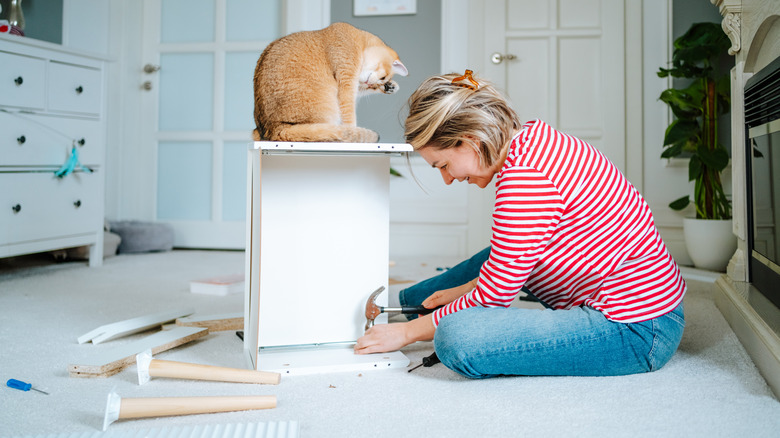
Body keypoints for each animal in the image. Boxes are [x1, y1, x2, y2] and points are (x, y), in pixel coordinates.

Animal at [253, 22, 408, 142]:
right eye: (383, 77)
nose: (371, 84)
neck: (358, 38)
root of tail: (273, 129)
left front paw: (390, 86)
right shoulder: (347, 80)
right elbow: (349, 113)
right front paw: (353, 131)